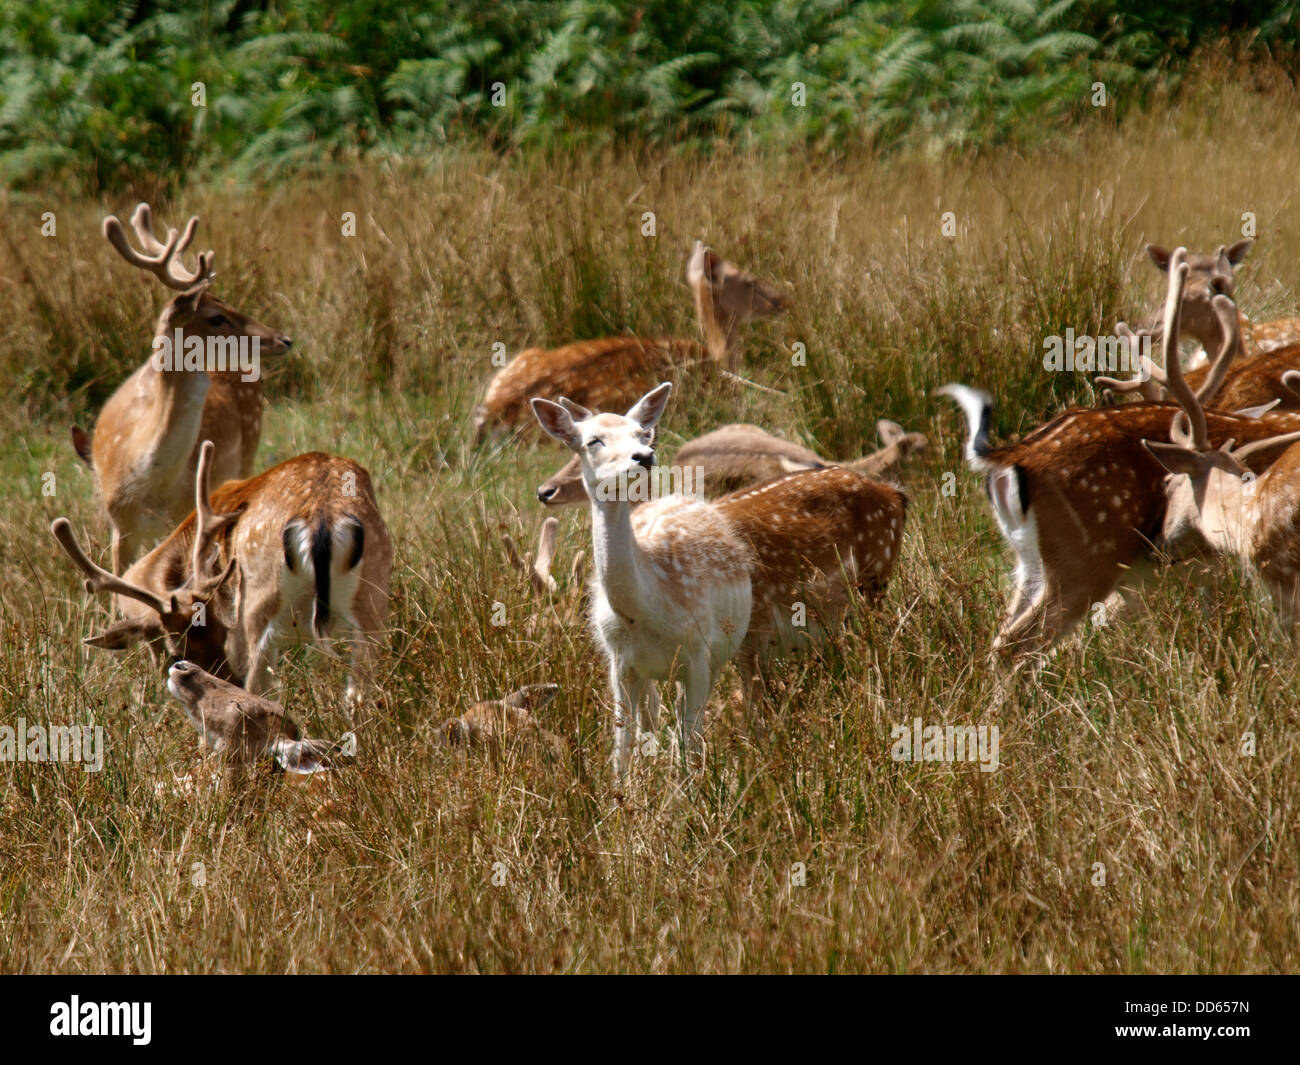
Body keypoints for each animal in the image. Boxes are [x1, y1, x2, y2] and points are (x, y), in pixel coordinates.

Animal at [52, 441, 391, 716]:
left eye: (174, 652)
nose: (224, 680)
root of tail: (321, 517)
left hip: (257, 601)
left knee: (259, 688)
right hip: (374, 594)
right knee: (359, 693)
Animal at [531, 382, 905, 777]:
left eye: (643, 434)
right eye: (592, 440)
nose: (644, 456)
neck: (643, 607)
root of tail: (895, 494)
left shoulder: (709, 650)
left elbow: (692, 745)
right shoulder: (622, 664)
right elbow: (626, 749)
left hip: (874, 585)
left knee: (878, 661)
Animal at [940, 247, 1300, 656]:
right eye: (1166, 484)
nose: (1158, 545)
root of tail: (1014, 455)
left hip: (1029, 562)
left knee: (1005, 633)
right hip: (1083, 561)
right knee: (1019, 643)